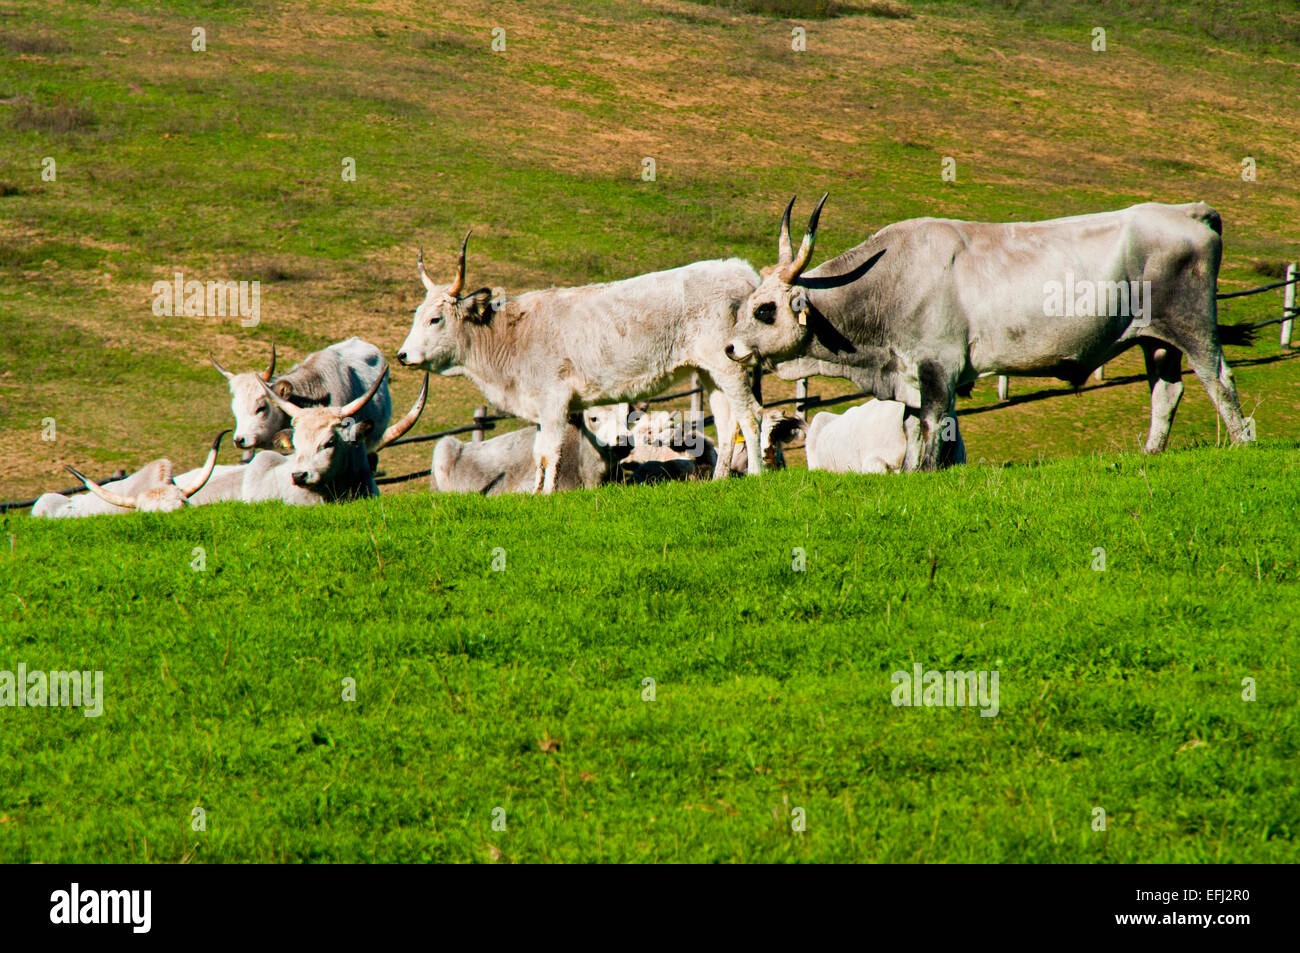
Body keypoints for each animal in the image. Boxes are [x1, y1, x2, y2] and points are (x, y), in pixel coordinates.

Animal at [396, 232, 765, 493]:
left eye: (435, 319)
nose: (402, 355)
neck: (511, 337)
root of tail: (739, 269)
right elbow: (537, 453)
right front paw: (534, 494)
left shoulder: (554, 399)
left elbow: (549, 452)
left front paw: (547, 495)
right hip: (709, 371)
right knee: (727, 421)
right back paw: (719, 480)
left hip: (729, 363)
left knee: (750, 415)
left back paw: (757, 475)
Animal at [725, 197, 1255, 470]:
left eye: (765, 310)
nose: (729, 347)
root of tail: (1189, 210)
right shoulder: (912, 375)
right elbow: (915, 428)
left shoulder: (937, 366)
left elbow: (934, 427)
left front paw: (926, 474)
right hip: (1156, 341)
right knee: (1166, 392)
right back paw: (1150, 452)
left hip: (1193, 327)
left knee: (1219, 381)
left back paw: (1241, 444)